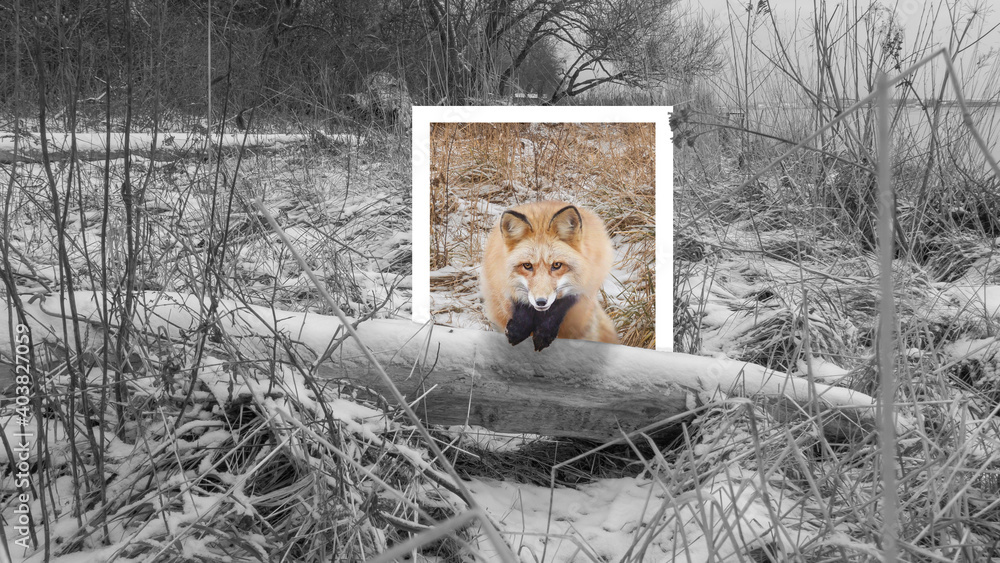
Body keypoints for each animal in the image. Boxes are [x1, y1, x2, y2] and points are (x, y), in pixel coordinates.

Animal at [480, 201, 620, 351]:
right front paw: (518, 329)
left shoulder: (588, 281)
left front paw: (543, 334)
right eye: (527, 266)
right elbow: (519, 305)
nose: (541, 301)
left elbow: (562, 305)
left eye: (557, 265)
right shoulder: (498, 278)